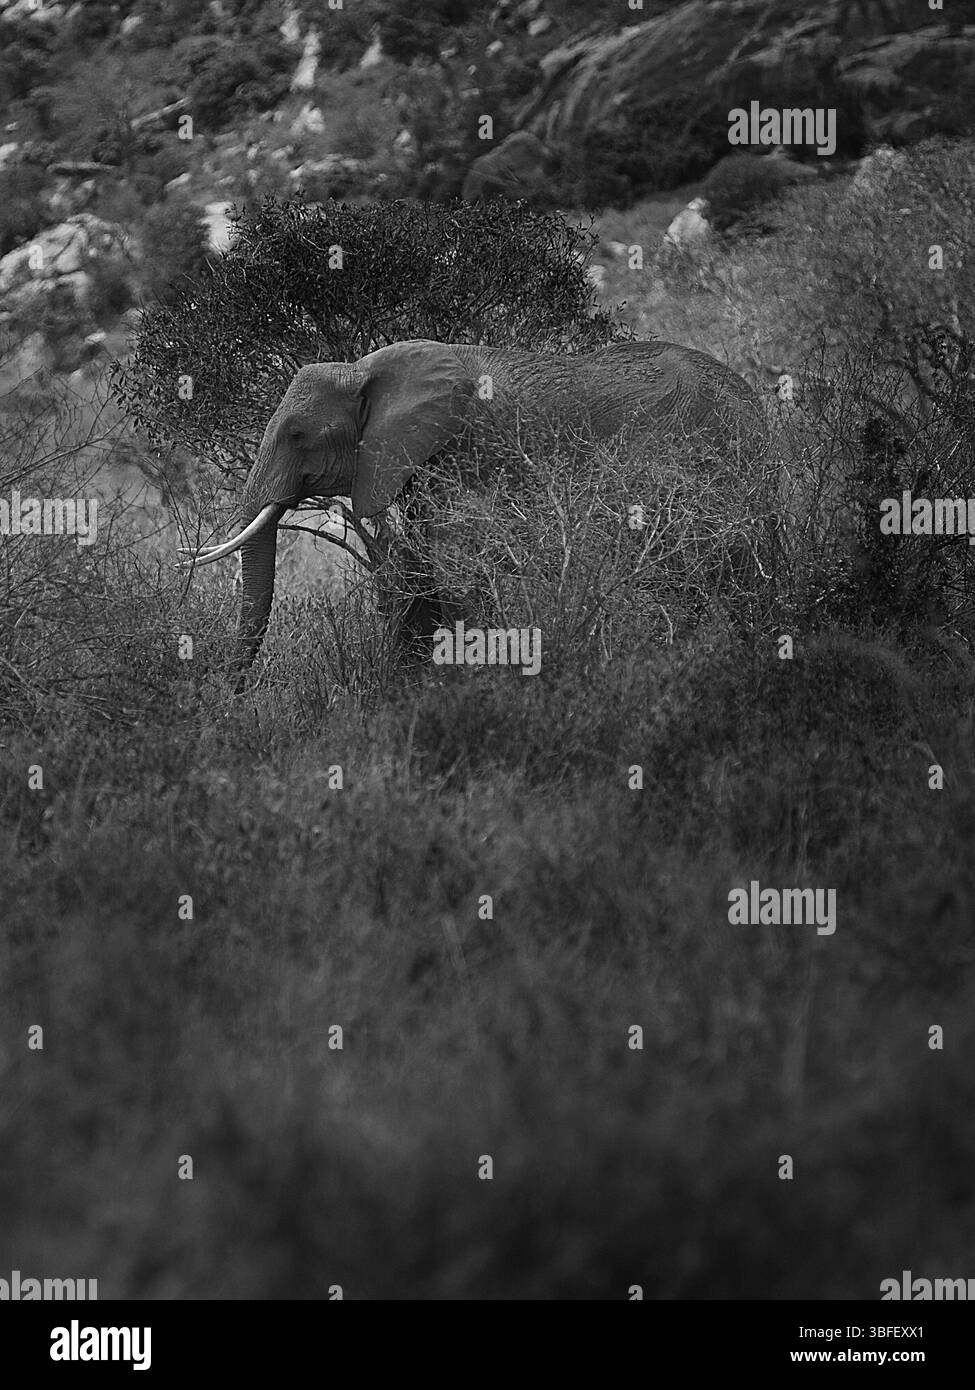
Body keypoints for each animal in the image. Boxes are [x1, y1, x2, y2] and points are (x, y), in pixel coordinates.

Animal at [180, 338, 765, 670]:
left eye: (298, 435)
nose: (227, 700)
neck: (364, 370)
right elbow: (420, 572)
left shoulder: (469, 451)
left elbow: (455, 571)